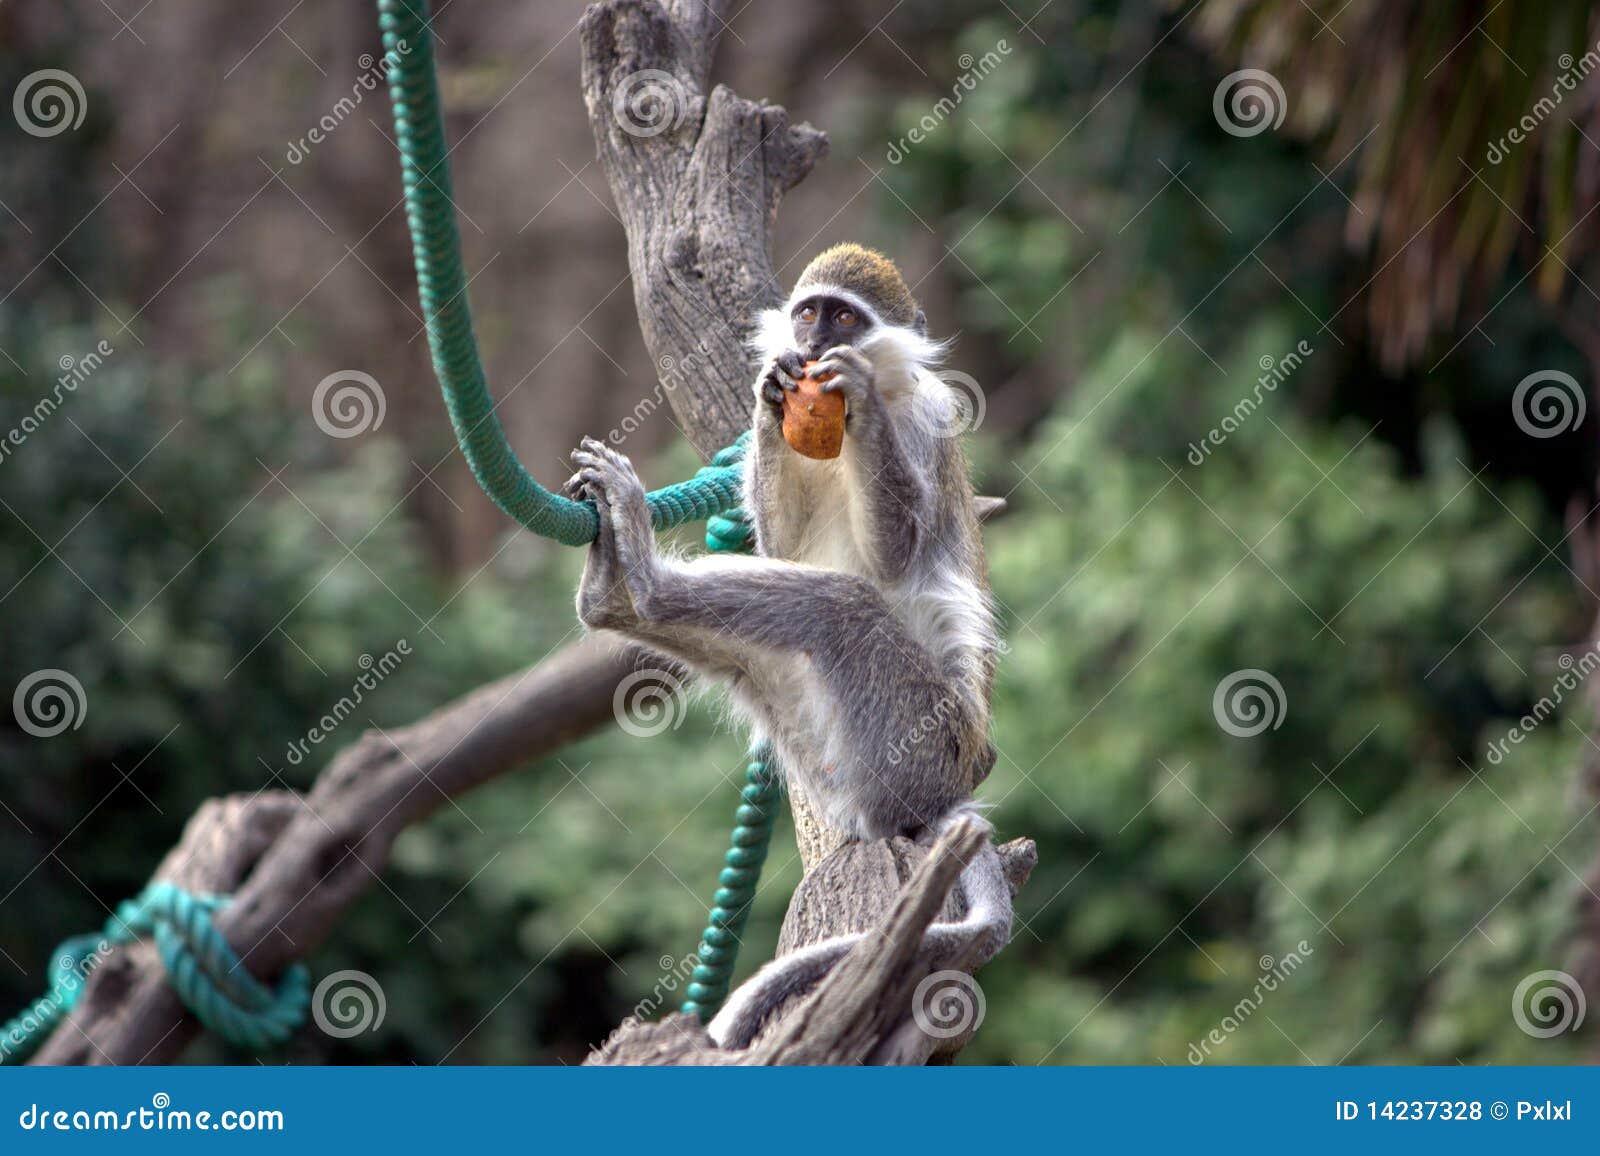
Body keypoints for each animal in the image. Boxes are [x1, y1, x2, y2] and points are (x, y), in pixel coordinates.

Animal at [566, 243, 1011, 1049]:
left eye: (845, 319)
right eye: (808, 312)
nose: (811, 344)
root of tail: (955, 784)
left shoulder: (931, 420)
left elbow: (897, 560)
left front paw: (855, 394)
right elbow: (783, 546)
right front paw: (768, 397)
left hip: (915, 738)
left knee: (842, 607)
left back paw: (637, 579)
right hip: (818, 740)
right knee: (758, 644)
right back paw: (613, 595)